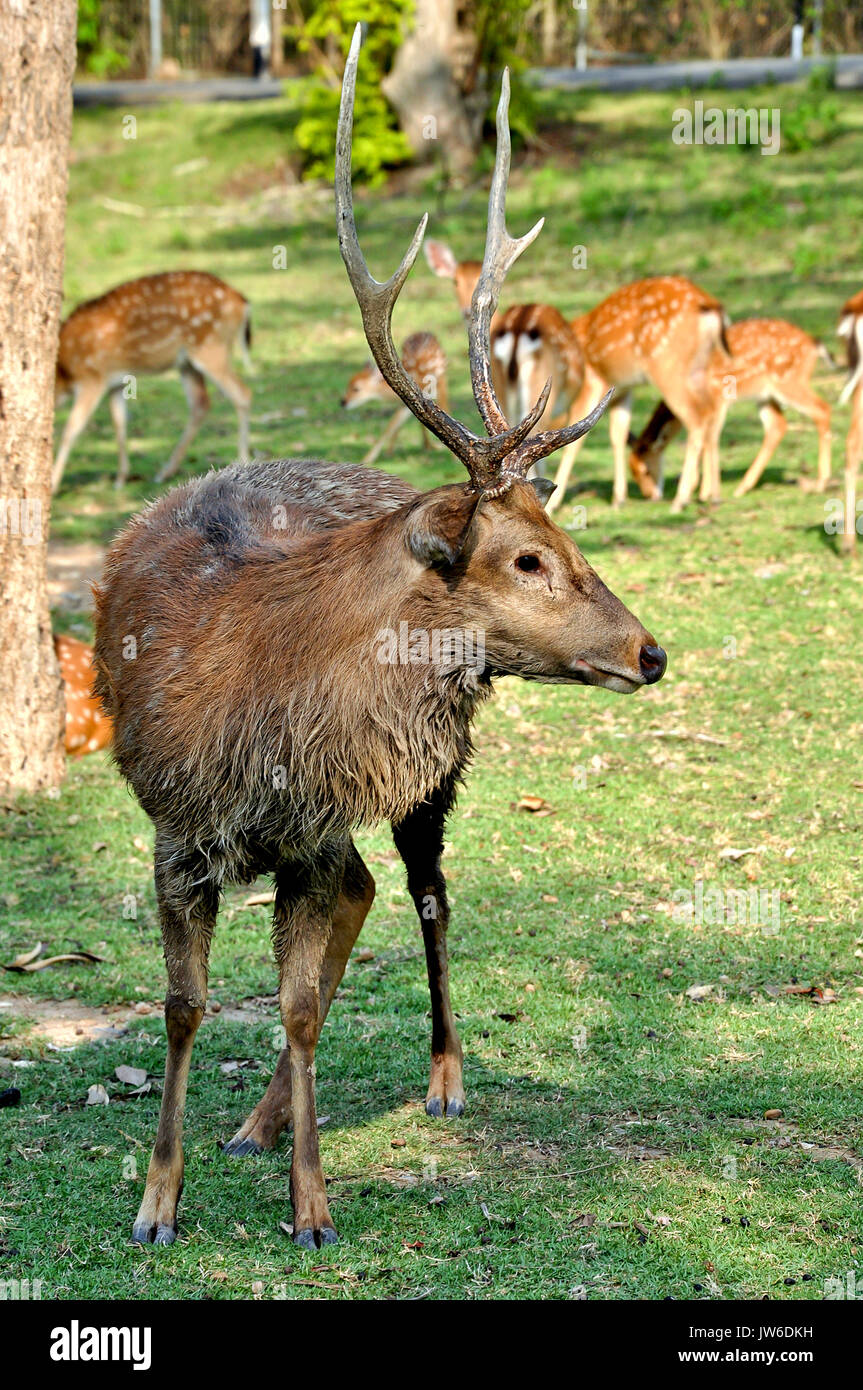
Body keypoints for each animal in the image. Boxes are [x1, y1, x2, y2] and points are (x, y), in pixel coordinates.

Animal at [53, 271, 252, 493]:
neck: (65, 372)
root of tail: (242, 301)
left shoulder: (92, 377)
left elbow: (71, 428)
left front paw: (52, 484)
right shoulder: (116, 382)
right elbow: (119, 422)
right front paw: (121, 478)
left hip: (210, 346)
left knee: (242, 393)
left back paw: (242, 460)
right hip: (187, 362)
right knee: (200, 403)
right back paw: (165, 472)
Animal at [341, 331, 449, 464]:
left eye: (356, 388)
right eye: (348, 384)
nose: (343, 402)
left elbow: (389, 427)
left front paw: (367, 459)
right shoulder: (405, 403)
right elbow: (393, 426)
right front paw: (386, 453)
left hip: (442, 377)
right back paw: (426, 446)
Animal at [628, 319, 834, 502]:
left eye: (646, 469)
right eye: (633, 472)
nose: (649, 496)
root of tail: (814, 344)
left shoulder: (717, 398)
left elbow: (709, 439)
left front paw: (704, 493)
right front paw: (697, 487)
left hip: (789, 381)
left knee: (822, 409)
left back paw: (822, 482)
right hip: (765, 394)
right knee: (777, 425)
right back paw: (743, 486)